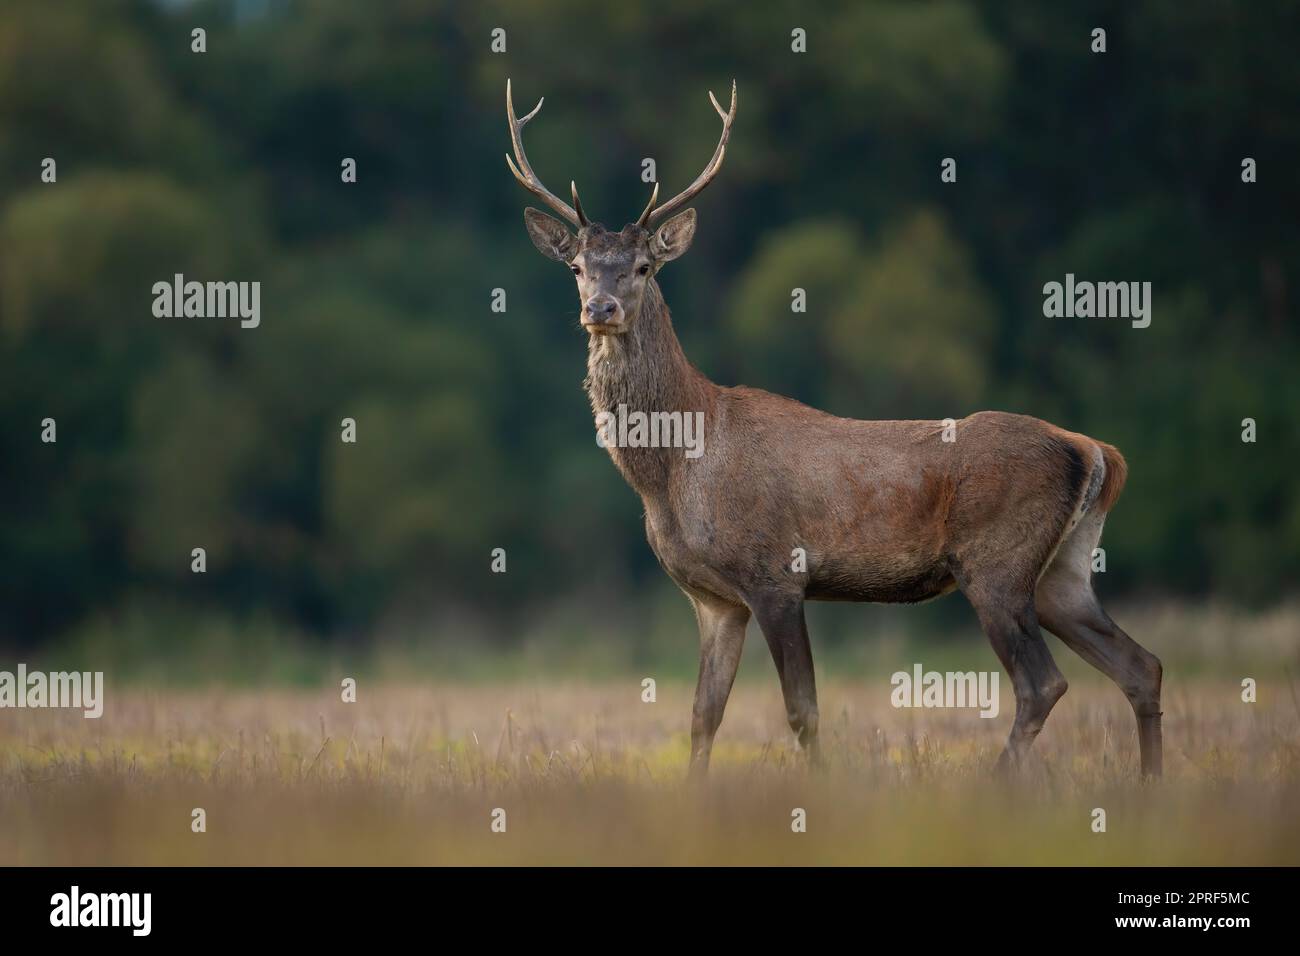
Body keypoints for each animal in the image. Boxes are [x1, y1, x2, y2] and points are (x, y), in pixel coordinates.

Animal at [505, 79, 1164, 779]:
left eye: (643, 268)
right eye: (577, 266)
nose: (599, 308)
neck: (675, 467)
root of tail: (1093, 450)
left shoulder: (775, 573)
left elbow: (802, 712)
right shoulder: (715, 601)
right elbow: (702, 718)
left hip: (998, 562)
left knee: (1043, 683)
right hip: (1063, 572)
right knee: (1140, 666)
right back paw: (1149, 786)